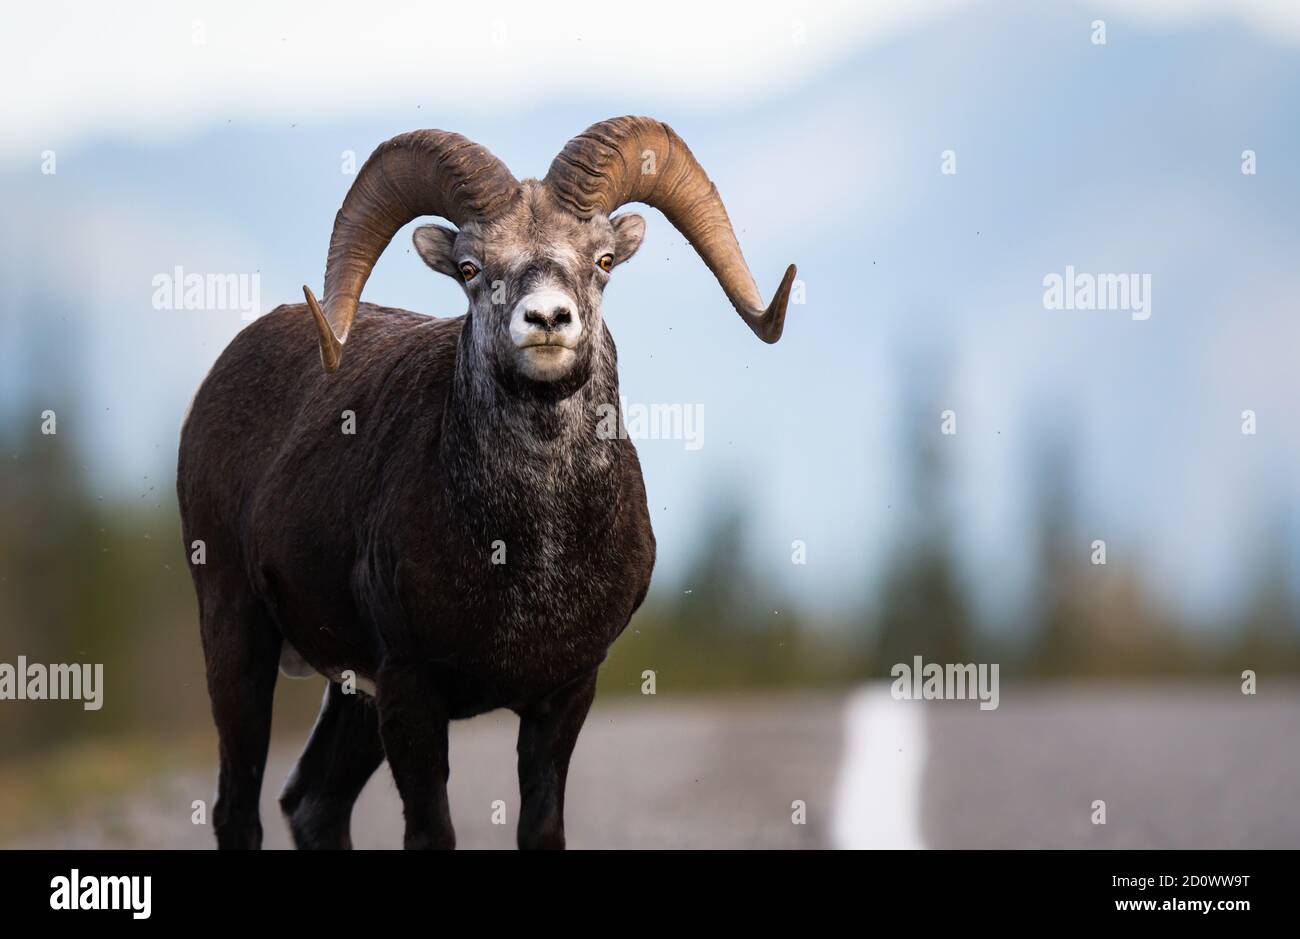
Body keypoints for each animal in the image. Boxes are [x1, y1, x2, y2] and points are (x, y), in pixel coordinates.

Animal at [176, 116, 796, 850]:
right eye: (471, 269)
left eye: (602, 260)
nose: (548, 321)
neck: (530, 556)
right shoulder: (411, 690)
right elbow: (431, 831)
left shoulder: (563, 696)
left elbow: (541, 827)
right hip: (237, 634)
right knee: (238, 809)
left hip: (350, 695)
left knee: (313, 803)